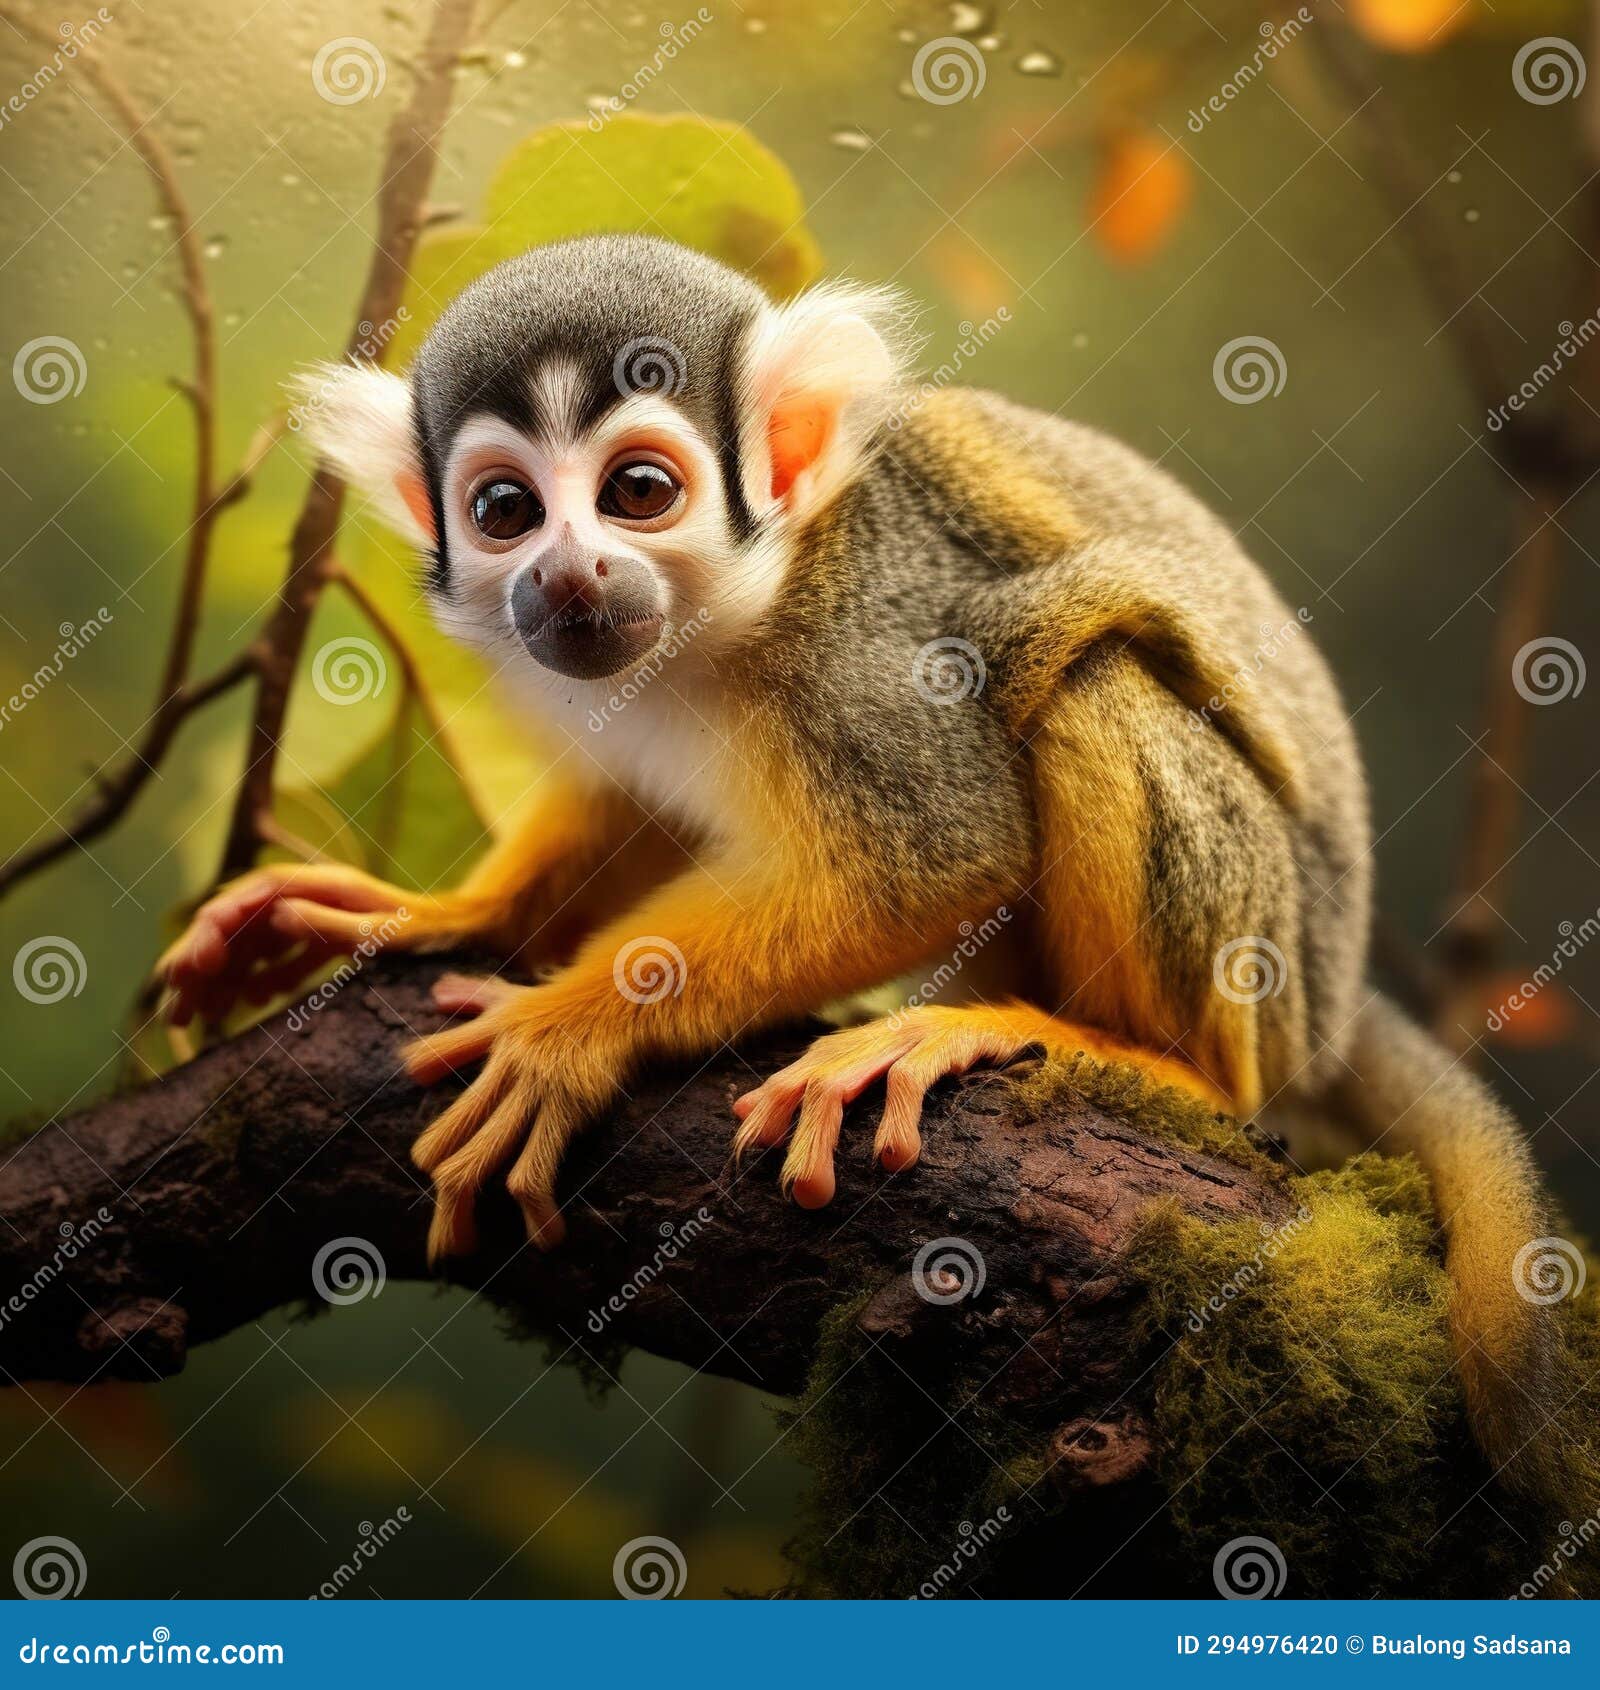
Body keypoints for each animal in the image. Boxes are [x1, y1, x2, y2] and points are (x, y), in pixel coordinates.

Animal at [158, 233, 1559, 1504]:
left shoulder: (869, 648)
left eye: (637, 490)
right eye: (505, 512)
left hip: (1273, 968)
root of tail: (1330, 998)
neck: (734, 614)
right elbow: (630, 806)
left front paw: (568, 1029)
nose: (567, 574)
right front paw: (428, 912)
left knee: (1085, 667)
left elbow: (935, 858)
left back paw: (1142, 1062)